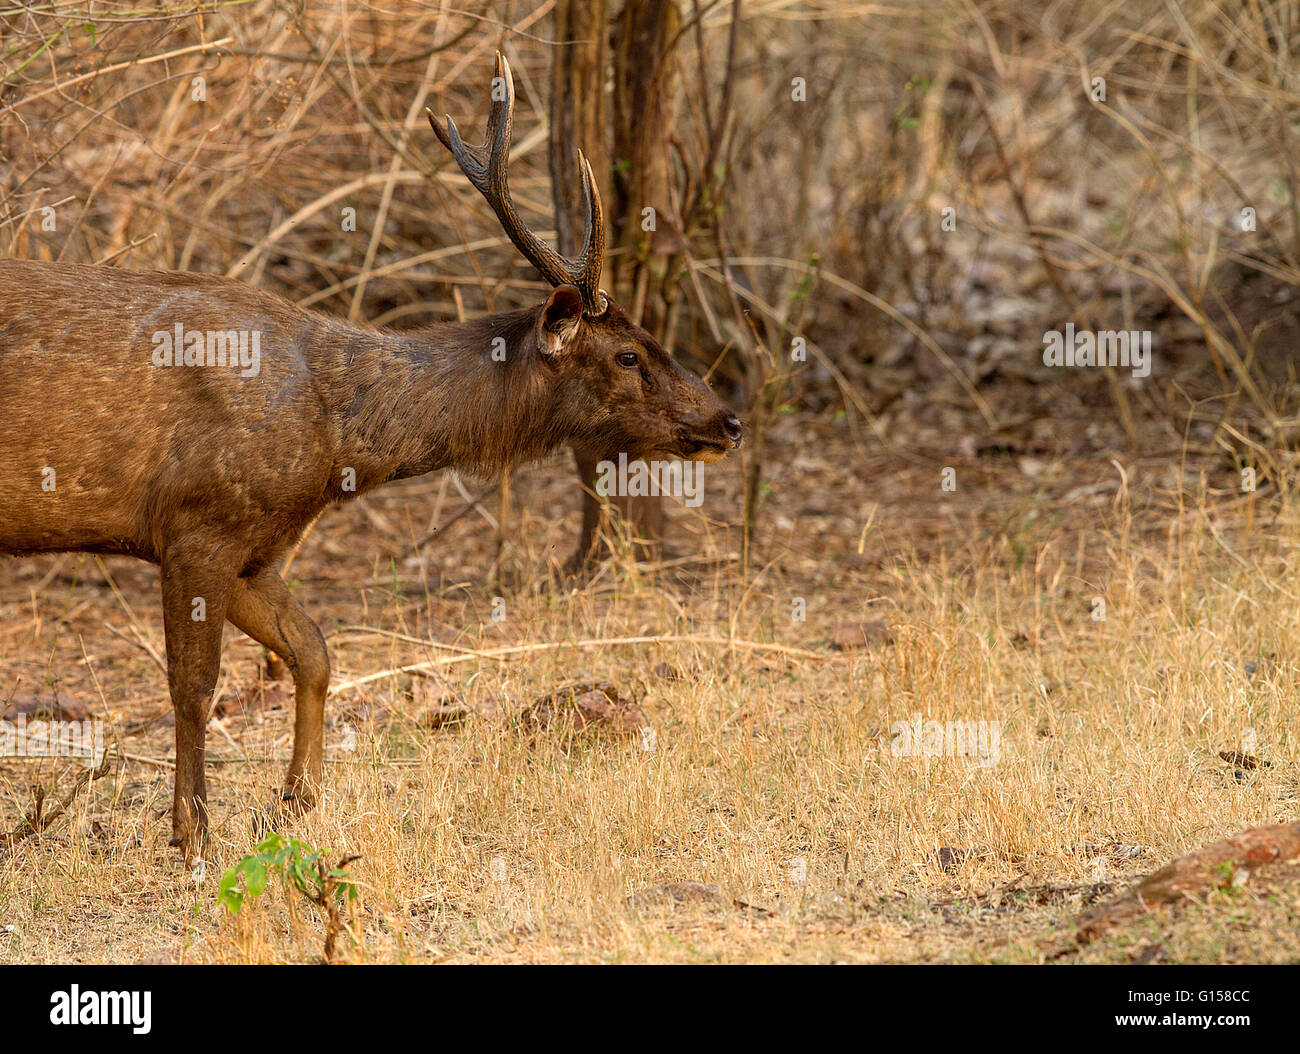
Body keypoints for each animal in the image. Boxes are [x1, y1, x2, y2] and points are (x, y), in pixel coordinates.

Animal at [0, 54, 742, 862]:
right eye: (629, 354)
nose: (727, 420)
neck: (334, 440)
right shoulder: (197, 523)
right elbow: (193, 686)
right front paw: (193, 835)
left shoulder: (256, 547)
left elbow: (314, 650)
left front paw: (295, 801)